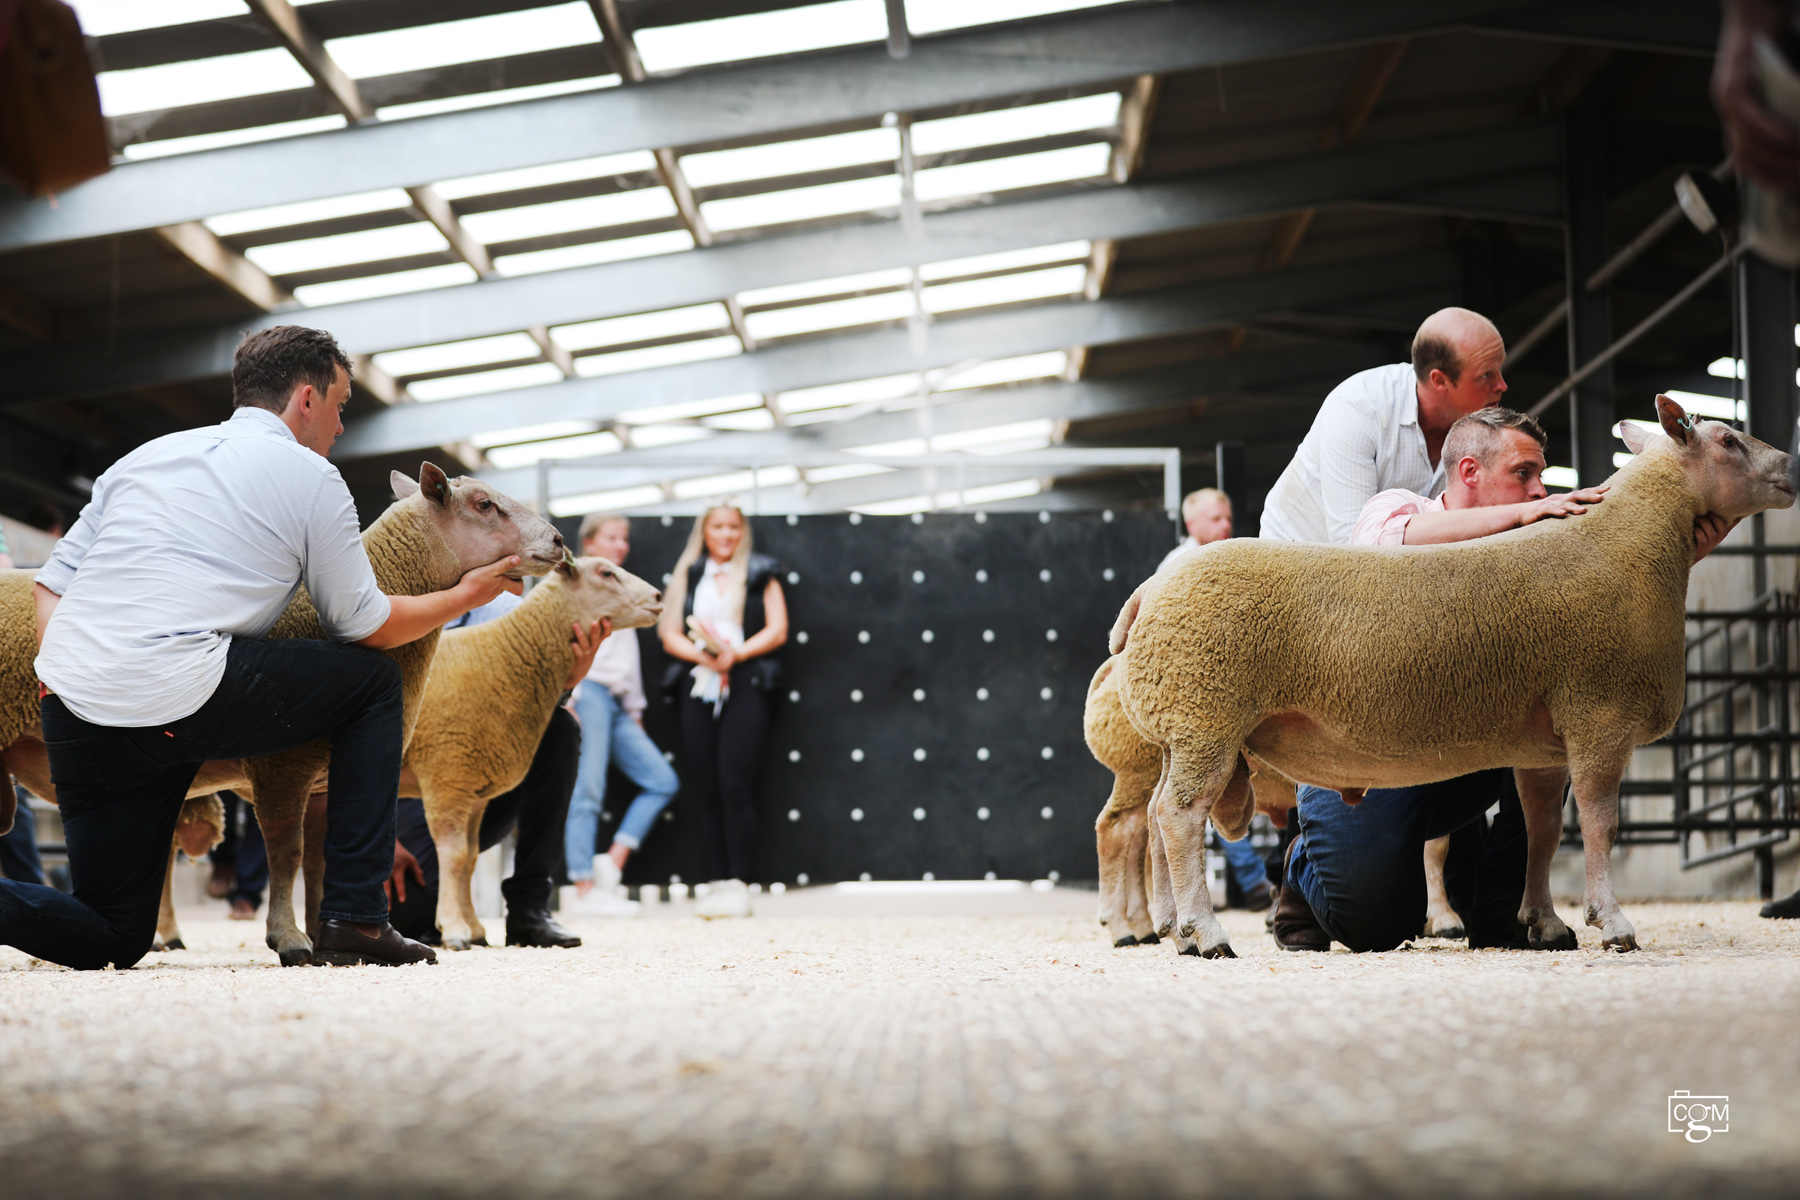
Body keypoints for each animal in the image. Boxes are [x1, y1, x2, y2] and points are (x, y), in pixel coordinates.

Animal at [385, 555, 664, 950]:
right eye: (606, 573)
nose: (657, 597)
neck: (509, 653)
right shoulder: (447, 774)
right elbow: (453, 856)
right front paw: (454, 930)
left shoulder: (475, 791)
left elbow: (470, 858)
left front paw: (475, 928)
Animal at [1110, 395, 1794, 959]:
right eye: (1728, 439)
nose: (1791, 467)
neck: (1634, 541)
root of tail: (1146, 592)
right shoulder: (1599, 715)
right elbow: (1602, 824)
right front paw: (1614, 923)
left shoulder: (1544, 743)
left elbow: (1544, 830)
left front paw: (1543, 921)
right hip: (1205, 714)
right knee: (1178, 816)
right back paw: (1207, 934)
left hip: (1181, 726)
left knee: (1155, 819)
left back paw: (1175, 929)